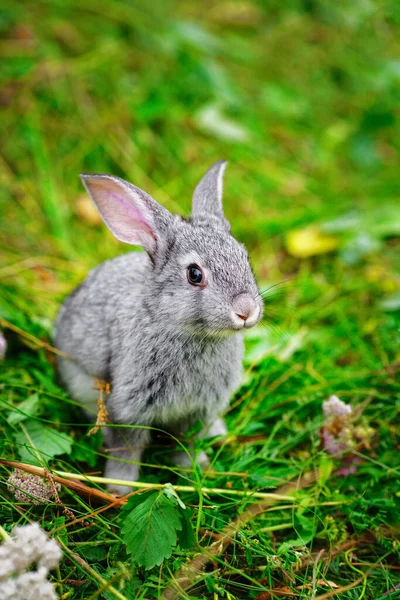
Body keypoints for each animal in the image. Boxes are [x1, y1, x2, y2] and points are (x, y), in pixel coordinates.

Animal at [55, 162, 262, 494]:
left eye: (245, 257)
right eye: (194, 274)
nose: (246, 311)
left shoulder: (200, 408)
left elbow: (188, 442)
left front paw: (196, 468)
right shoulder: (129, 406)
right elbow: (127, 448)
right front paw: (119, 488)